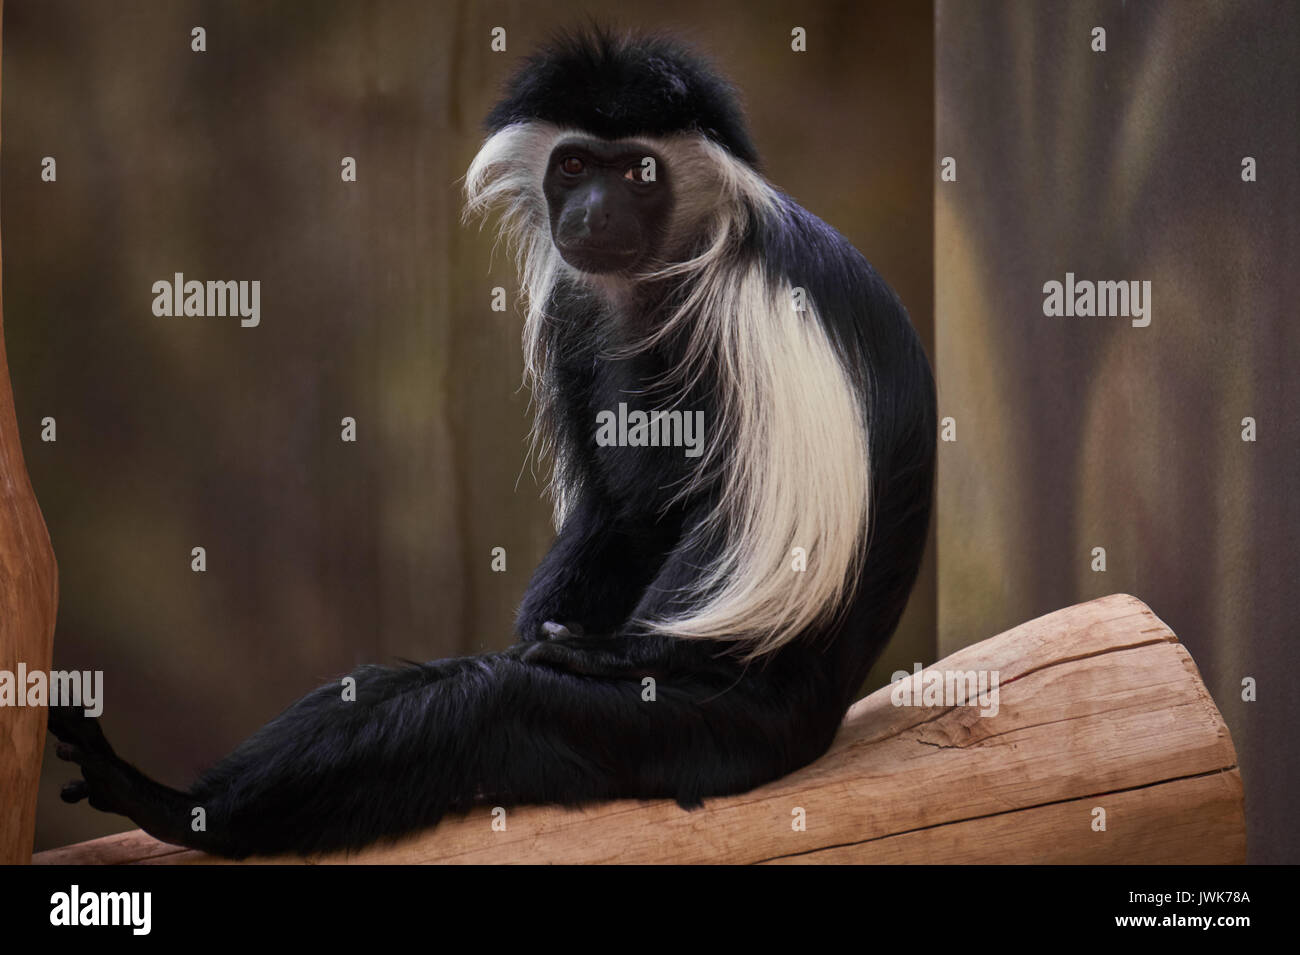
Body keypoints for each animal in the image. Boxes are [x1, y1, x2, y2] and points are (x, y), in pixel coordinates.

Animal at [48, 27, 936, 859]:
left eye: (638, 172)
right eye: (574, 164)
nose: (592, 213)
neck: (667, 274)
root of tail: (820, 718)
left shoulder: (751, 315)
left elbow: (728, 540)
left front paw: (597, 652)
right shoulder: (579, 314)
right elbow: (620, 507)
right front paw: (542, 623)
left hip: (724, 729)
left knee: (485, 705)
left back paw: (180, 809)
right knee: (404, 686)